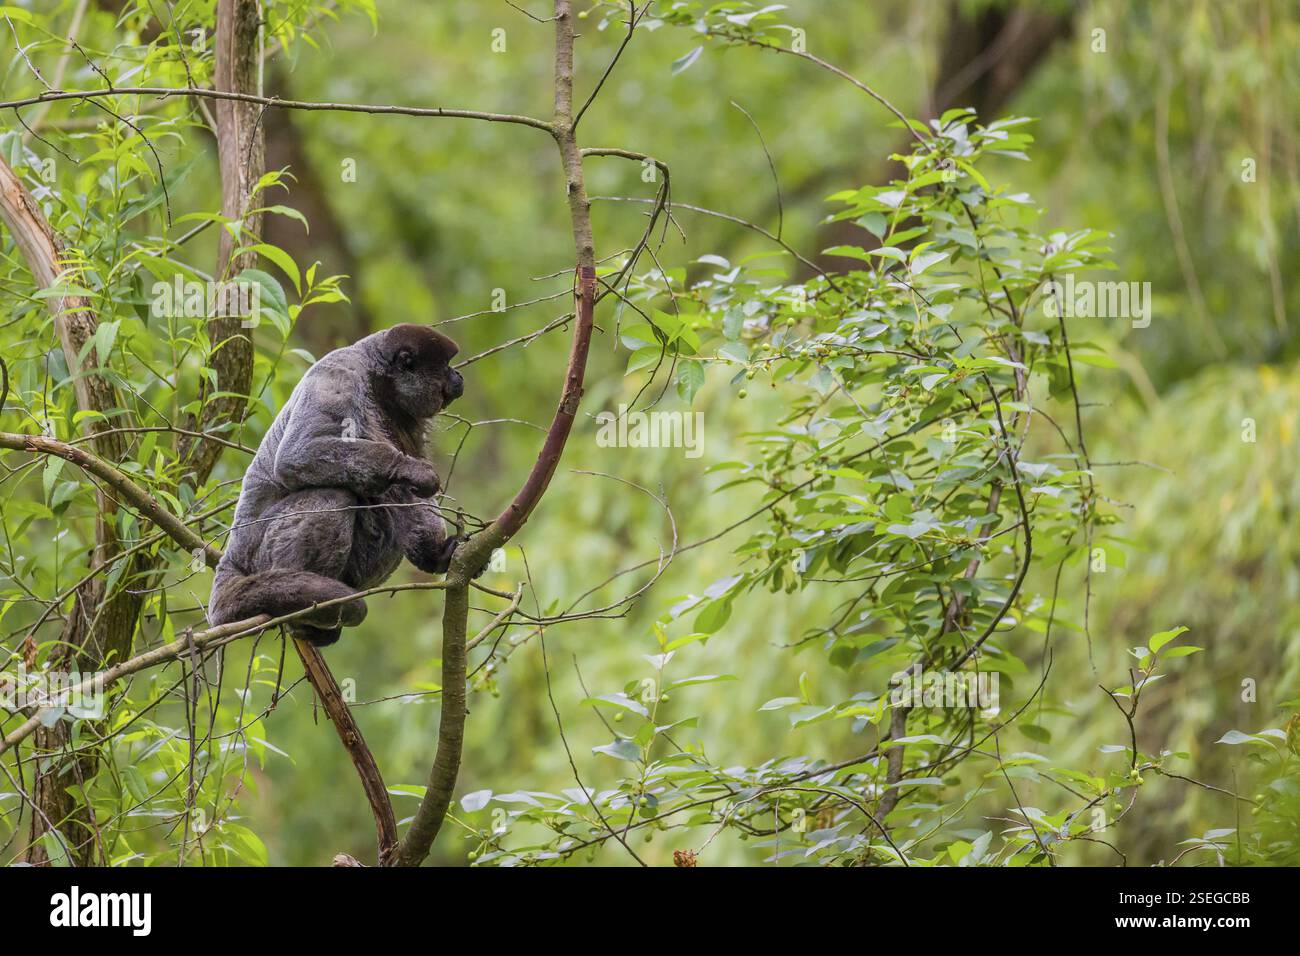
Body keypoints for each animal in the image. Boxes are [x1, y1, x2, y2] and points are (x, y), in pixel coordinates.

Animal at [207, 324, 464, 646]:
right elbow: (297, 453)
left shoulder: (407, 418)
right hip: (260, 553)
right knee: (335, 494)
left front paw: (436, 554)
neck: (379, 381)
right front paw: (406, 468)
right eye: (446, 365)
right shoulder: (340, 375)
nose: (459, 375)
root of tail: (232, 557)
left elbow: (412, 497)